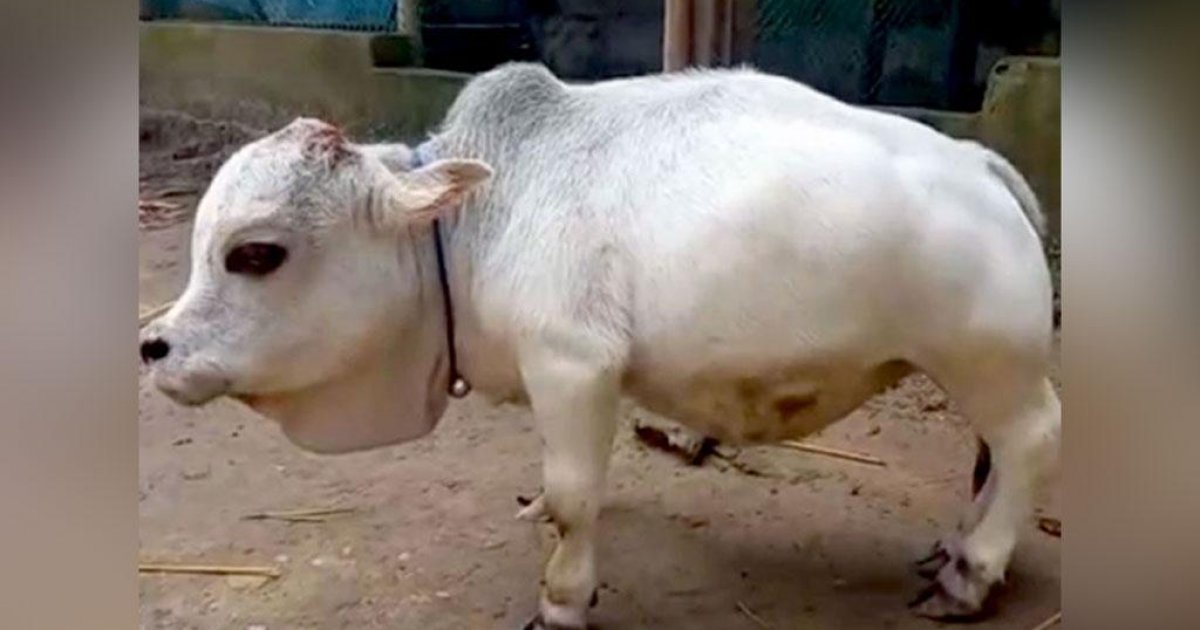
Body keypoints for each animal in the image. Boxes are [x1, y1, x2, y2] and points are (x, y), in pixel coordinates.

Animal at [140, 63, 1059, 628]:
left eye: (256, 254)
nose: (155, 346)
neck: (473, 224)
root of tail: (981, 165)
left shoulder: (573, 365)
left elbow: (575, 499)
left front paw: (562, 600)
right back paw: (957, 547)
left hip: (987, 362)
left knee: (1029, 442)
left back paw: (973, 573)